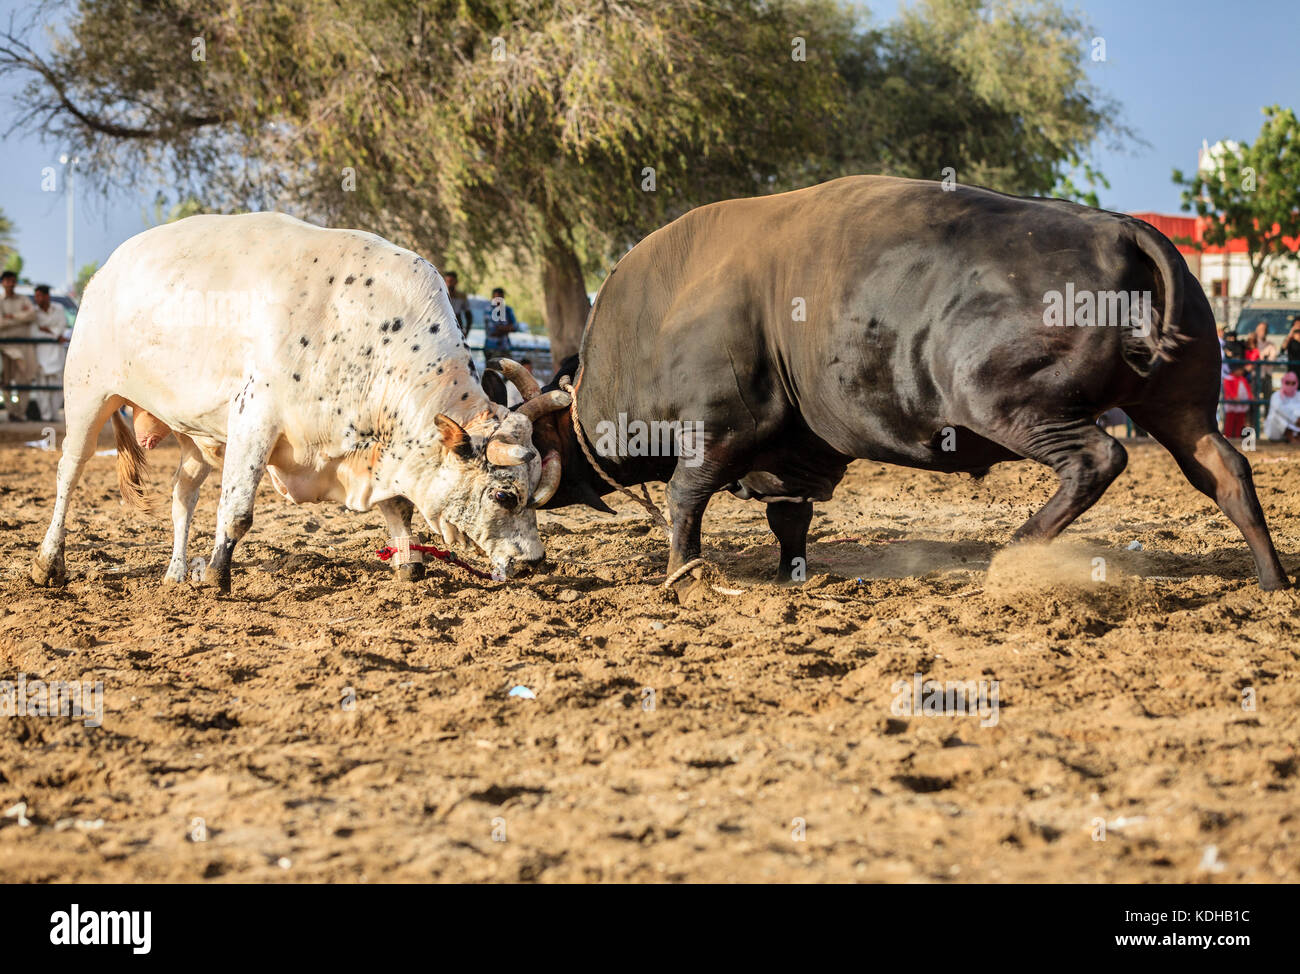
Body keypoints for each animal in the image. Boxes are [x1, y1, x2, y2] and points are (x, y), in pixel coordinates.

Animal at [30, 212, 570, 593]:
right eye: (505, 495)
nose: (534, 563)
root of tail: (108, 270)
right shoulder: (254, 416)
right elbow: (238, 510)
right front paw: (217, 575)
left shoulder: (380, 446)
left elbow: (399, 507)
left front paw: (409, 565)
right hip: (87, 393)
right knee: (69, 474)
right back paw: (49, 563)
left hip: (196, 439)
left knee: (182, 496)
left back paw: (176, 572)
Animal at [530, 175, 1290, 592]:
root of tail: (1119, 229)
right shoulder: (794, 454)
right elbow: (790, 518)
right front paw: (791, 573)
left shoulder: (714, 433)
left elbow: (686, 503)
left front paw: (682, 574)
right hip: (1178, 405)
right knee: (1225, 469)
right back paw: (1272, 579)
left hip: (1005, 400)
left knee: (1098, 459)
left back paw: (1015, 552)